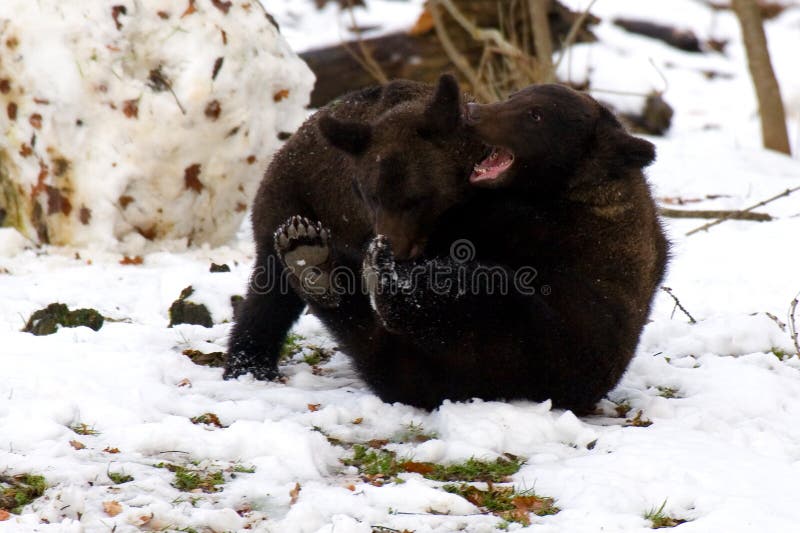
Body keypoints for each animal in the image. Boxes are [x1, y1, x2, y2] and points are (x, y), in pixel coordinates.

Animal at [224, 74, 485, 381]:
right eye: (371, 197)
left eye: (417, 198)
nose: (394, 251)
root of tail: (285, 148)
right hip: (291, 203)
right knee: (271, 292)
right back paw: (250, 364)